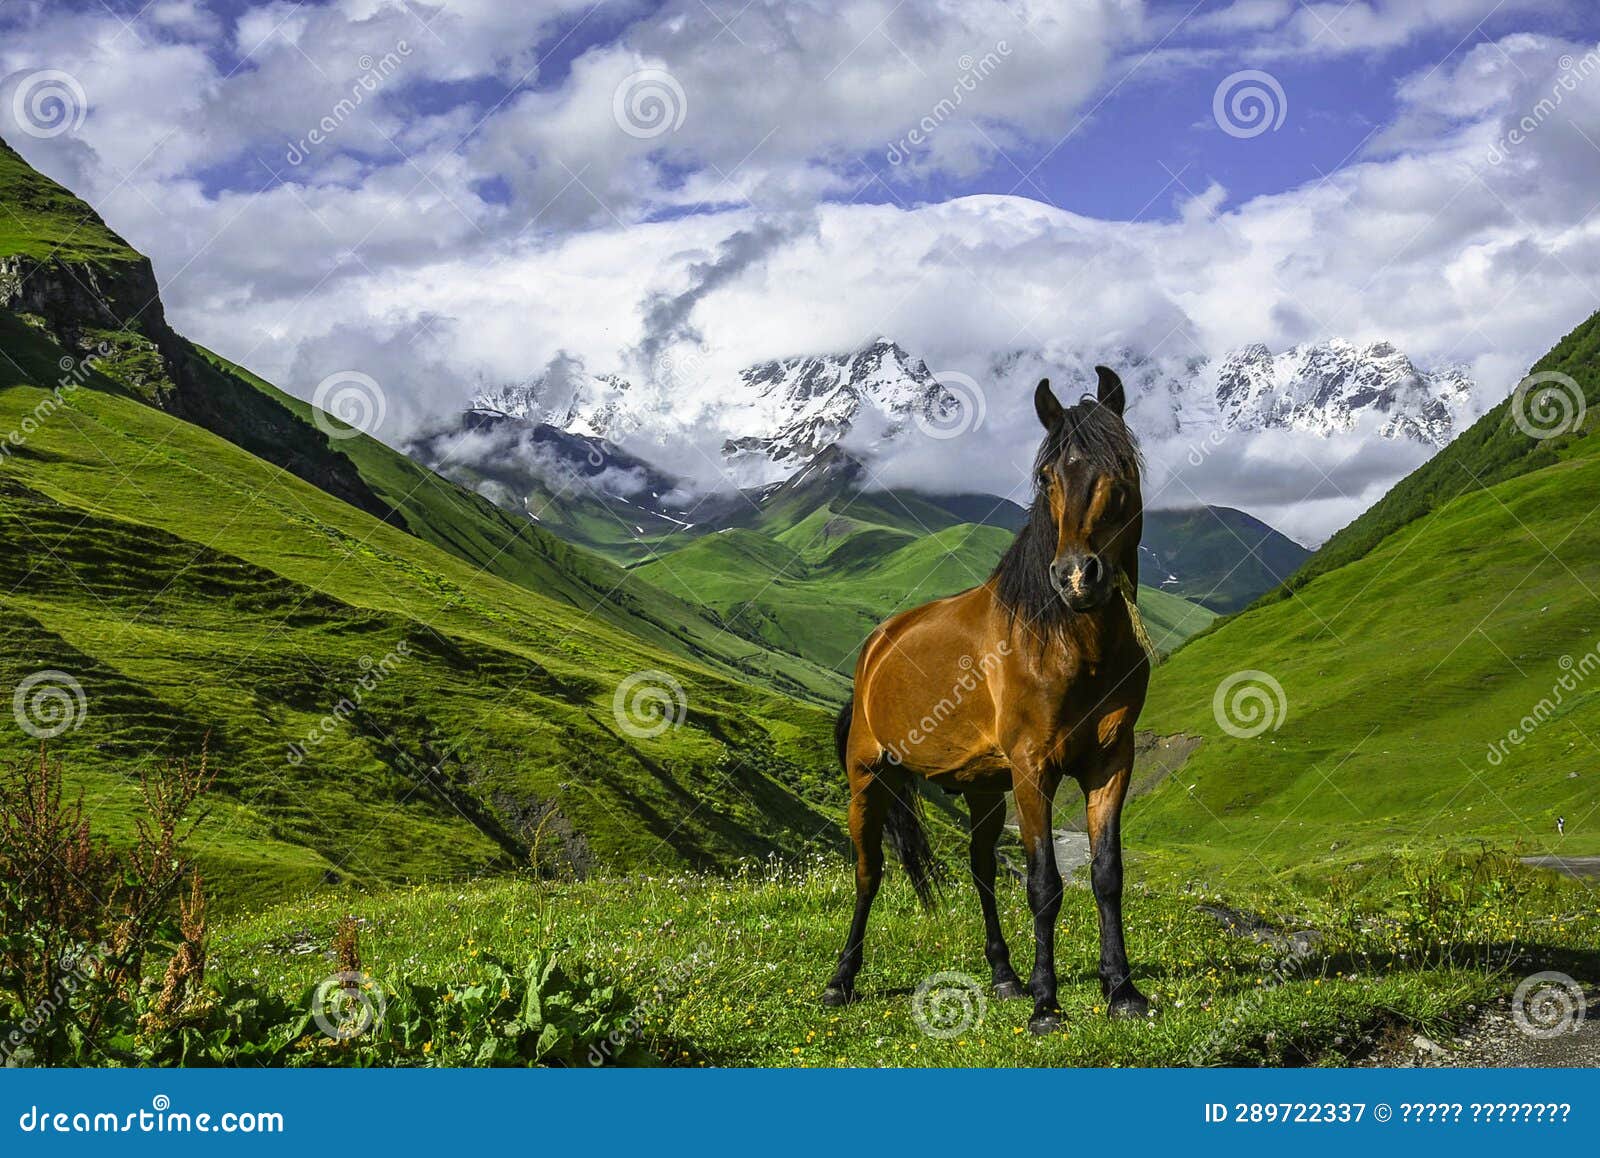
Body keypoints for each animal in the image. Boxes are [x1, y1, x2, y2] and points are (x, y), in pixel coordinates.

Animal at [821, 366, 1151, 1035]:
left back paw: (1003, 976)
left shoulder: (1111, 761)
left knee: (980, 870)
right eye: (1048, 477)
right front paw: (1048, 1005)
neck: (1066, 639)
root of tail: (873, 650)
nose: (1077, 578)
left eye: (1123, 467)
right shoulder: (1032, 768)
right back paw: (842, 980)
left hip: (981, 789)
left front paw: (1121, 991)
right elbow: (1044, 883)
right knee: (869, 874)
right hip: (867, 777)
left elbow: (1106, 875)